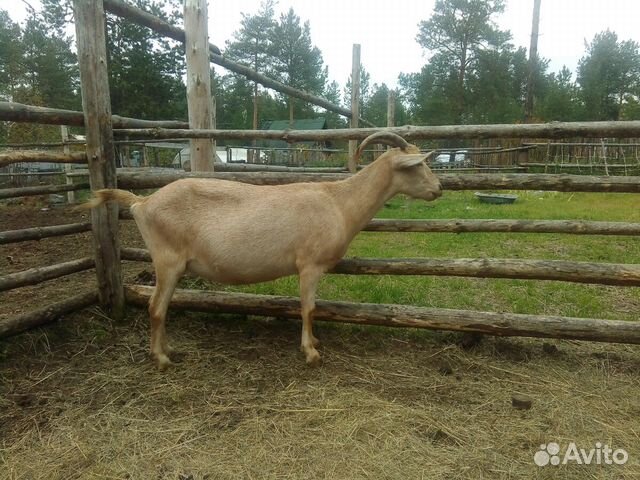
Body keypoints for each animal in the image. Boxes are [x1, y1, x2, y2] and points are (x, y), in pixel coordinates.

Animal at [84, 132, 442, 369]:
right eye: (416, 166)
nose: (439, 189)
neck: (338, 202)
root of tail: (142, 202)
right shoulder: (309, 265)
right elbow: (308, 308)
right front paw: (311, 352)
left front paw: (314, 343)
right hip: (167, 261)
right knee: (156, 308)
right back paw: (160, 358)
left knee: (162, 307)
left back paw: (168, 350)